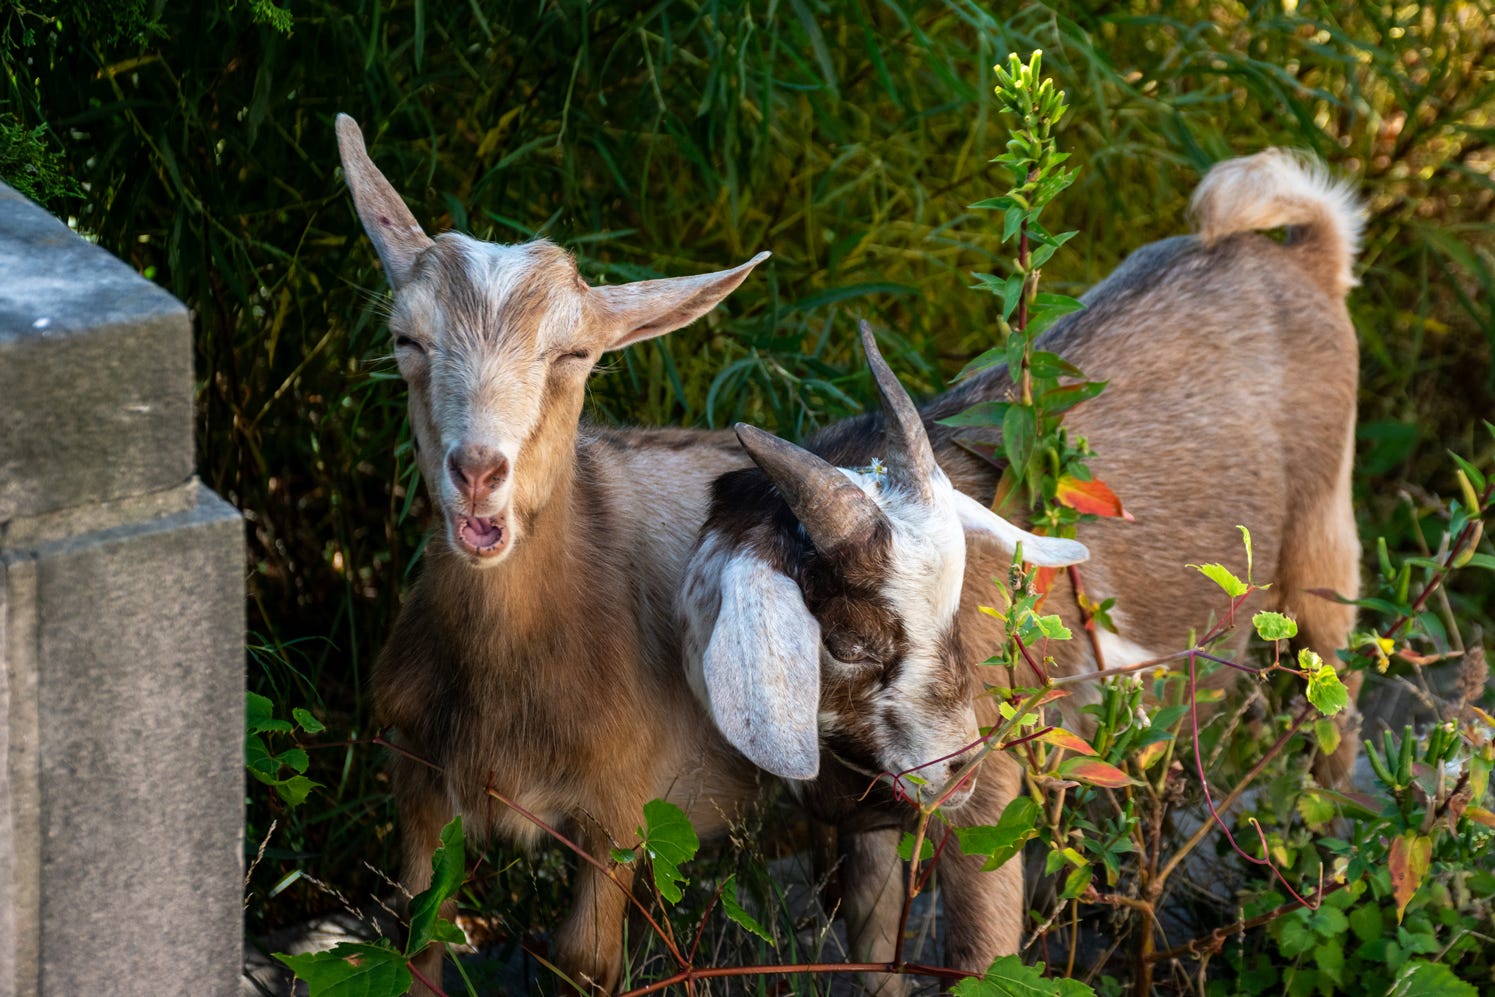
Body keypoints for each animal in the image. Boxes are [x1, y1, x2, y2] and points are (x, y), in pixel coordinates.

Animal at [678, 148, 1364, 978]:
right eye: (844, 642)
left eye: (953, 611)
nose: (960, 765)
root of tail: (1303, 255)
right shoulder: (864, 821)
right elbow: (873, 957)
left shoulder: (984, 813)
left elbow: (980, 954)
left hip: (1323, 543)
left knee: (1335, 707)